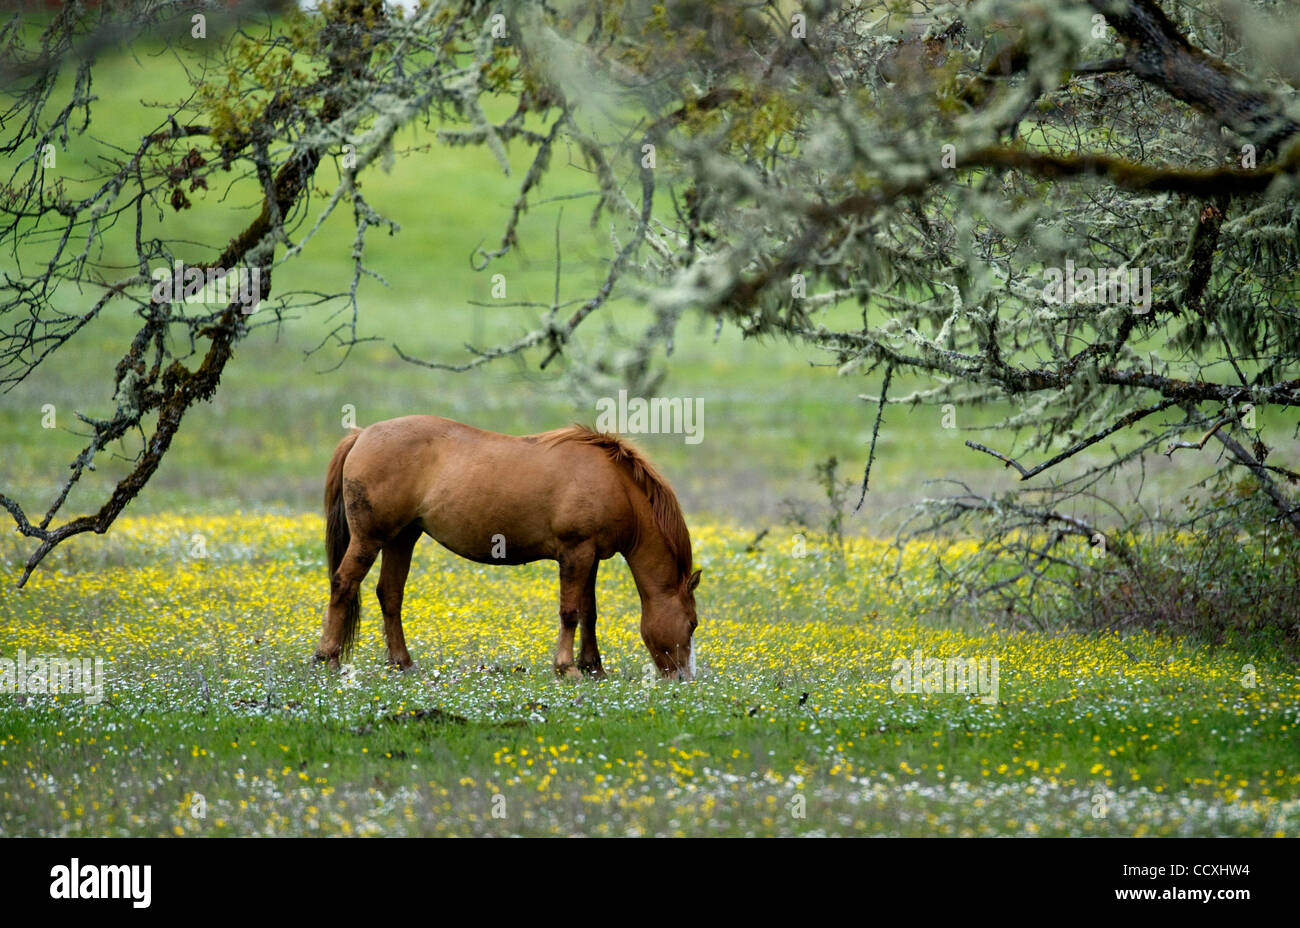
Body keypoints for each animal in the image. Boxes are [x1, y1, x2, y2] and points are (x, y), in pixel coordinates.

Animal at [314, 415, 701, 679]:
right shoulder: (575, 552)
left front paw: (594, 668)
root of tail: (362, 434)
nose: (683, 678)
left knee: (390, 595)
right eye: (693, 623)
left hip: (402, 538)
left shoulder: (591, 557)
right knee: (343, 585)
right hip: (370, 538)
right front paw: (567, 668)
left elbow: (589, 612)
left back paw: (402, 662)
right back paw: (327, 657)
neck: (614, 484)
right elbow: (570, 613)